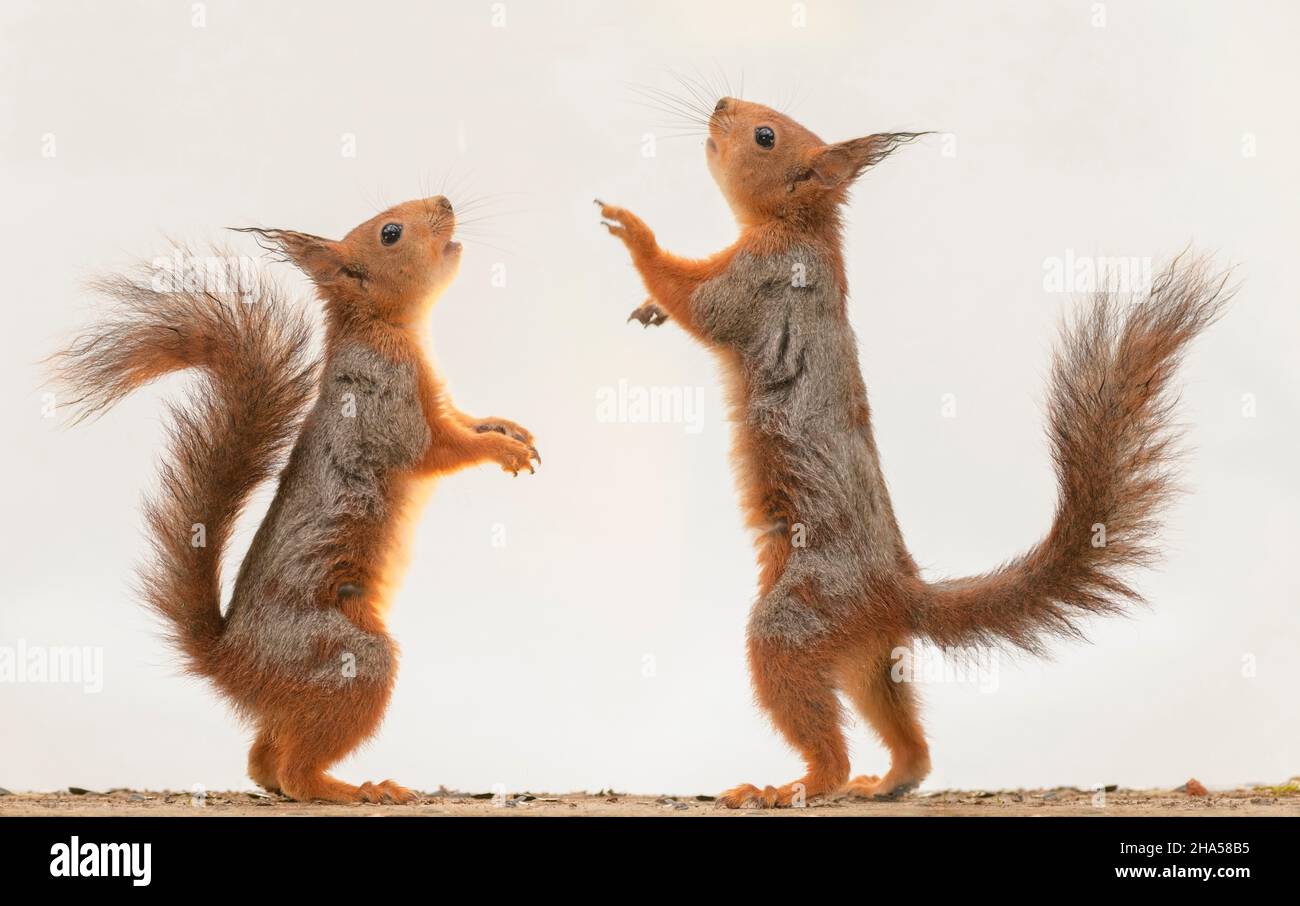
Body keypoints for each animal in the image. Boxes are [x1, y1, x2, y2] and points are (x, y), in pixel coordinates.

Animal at [54, 196, 539, 803]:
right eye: (390, 233)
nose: (446, 203)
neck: (385, 327)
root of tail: (233, 661)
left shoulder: (441, 402)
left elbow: (468, 420)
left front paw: (510, 429)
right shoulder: (391, 406)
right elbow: (444, 448)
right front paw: (502, 450)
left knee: (264, 760)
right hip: (349, 661)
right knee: (293, 772)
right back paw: (355, 788)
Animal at [597, 96, 1230, 808]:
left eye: (765, 135)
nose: (720, 105)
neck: (802, 228)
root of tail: (894, 593)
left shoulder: (759, 282)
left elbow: (698, 302)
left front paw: (633, 233)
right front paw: (648, 305)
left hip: (796, 622)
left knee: (824, 738)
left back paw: (793, 786)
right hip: (869, 655)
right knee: (907, 732)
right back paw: (889, 778)